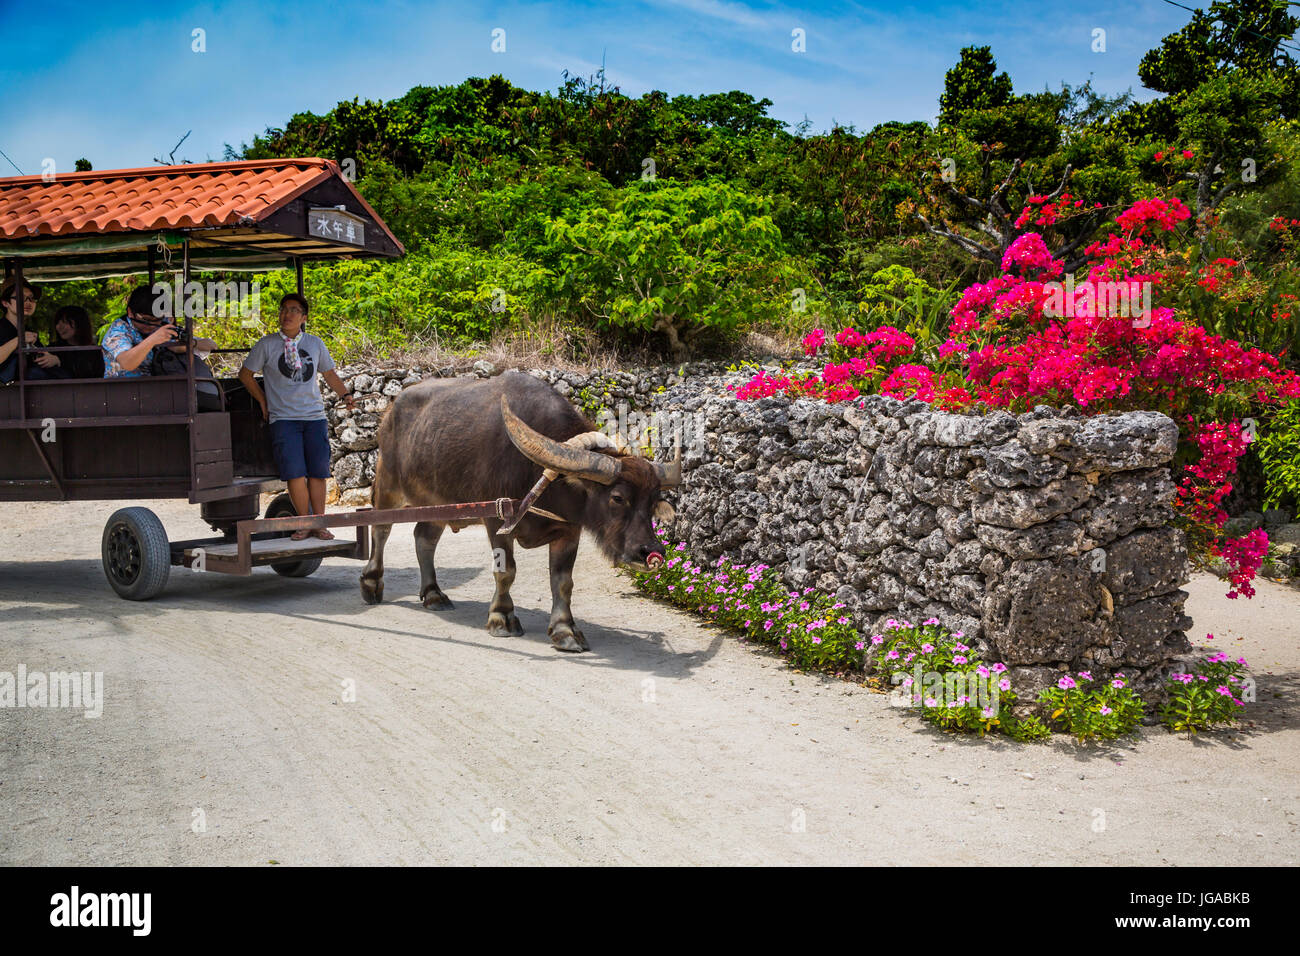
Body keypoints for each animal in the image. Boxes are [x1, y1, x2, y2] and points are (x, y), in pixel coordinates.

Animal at [359, 370, 680, 651]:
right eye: (617, 497)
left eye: (653, 501)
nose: (650, 552)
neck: (543, 476)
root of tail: (391, 411)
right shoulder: (497, 521)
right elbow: (506, 571)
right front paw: (502, 618)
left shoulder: (569, 530)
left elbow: (563, 582)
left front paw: (565, 631)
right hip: (388, 483)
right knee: (381, 528)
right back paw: (371, 584)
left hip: (437, 502)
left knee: (424, 537)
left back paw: (434, 595)